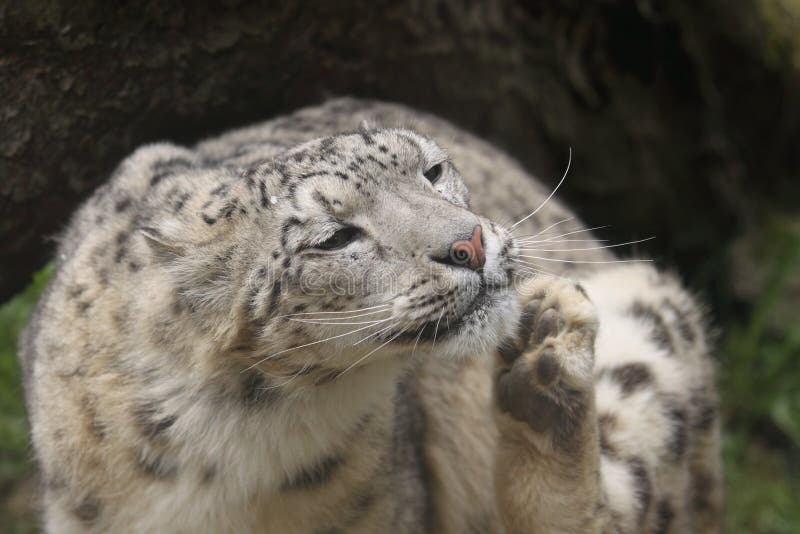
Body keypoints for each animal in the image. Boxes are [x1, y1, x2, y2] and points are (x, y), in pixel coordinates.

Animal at [19, 97, 722, 533]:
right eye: (335, 239)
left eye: (432, 171)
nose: (471, 243)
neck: (236, 447)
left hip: (651, 312)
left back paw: (545, 370)